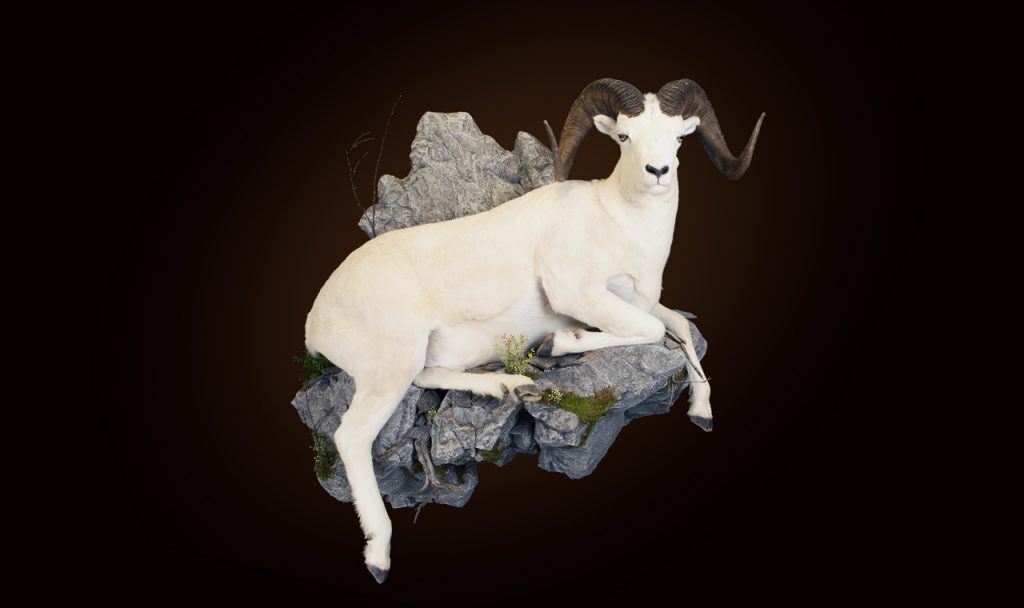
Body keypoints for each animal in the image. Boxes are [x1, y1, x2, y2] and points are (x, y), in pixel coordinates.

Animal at [303, 77, 764, 583]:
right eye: (625, 136)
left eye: (679, 138)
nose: (658, 171)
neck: (620, 222)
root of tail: (316, 321)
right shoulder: (580, 296)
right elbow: (648, 330)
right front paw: (559, 343)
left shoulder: (640, 301)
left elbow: (679, 326)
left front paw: (702, 412)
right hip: (388, 370)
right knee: (352, 438)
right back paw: (379, 557)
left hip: (415, 362)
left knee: (429, 377)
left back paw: (509, 387)